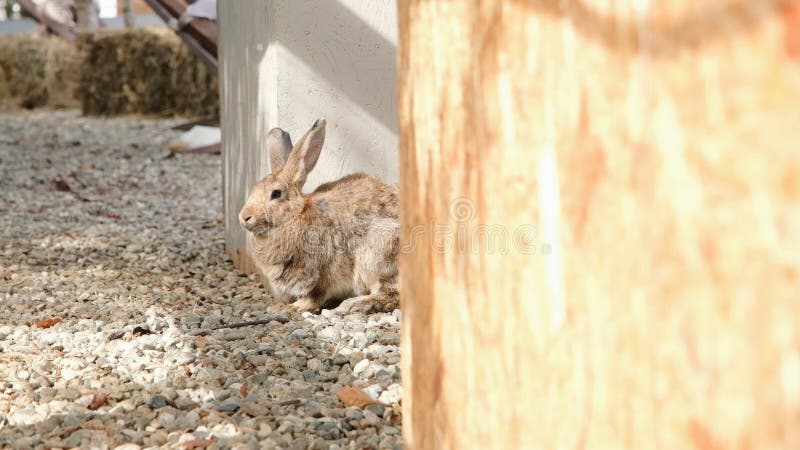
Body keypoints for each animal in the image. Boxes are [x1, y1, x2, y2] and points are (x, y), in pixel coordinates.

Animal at [239, 119, 399, 314]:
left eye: (276, 194)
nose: (244, 217)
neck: (293, 217)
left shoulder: (316, 273)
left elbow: (312, 297)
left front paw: (290, 308)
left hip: (377, 255)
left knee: (393, 294)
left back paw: (353, 304)